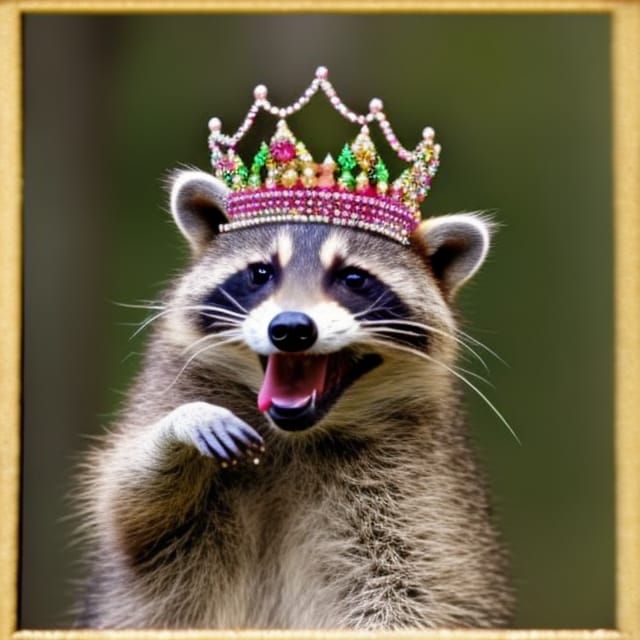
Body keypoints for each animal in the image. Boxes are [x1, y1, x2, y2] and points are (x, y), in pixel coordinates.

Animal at [76, 170, 514, 629]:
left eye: (353, 279)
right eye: (261, 272)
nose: (290, 328)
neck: (292, 436)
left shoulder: (422, 482)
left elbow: (408, 589)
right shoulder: (169, 387)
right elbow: (124, 501)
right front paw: (183, 426)